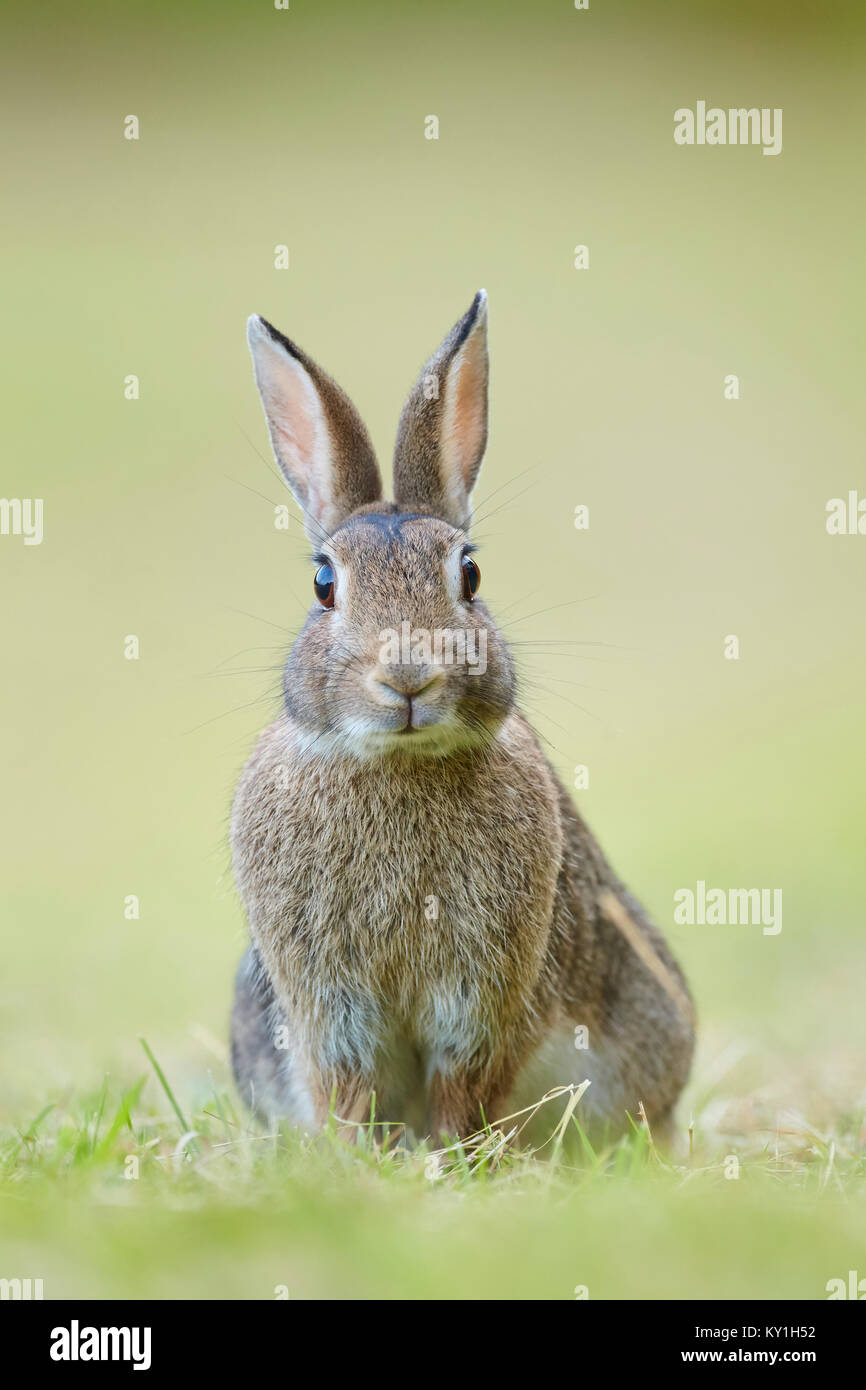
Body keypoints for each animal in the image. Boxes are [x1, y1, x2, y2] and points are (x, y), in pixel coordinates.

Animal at [230, 291, 695, 1144]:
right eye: (323, 584)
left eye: (470, 575)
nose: (409, 676)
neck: (400, 764)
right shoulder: (329, 1007)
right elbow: (347, 1086)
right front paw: (357, 1156)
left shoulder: (487, 993)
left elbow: (464, 1080)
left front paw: (451, 1153)